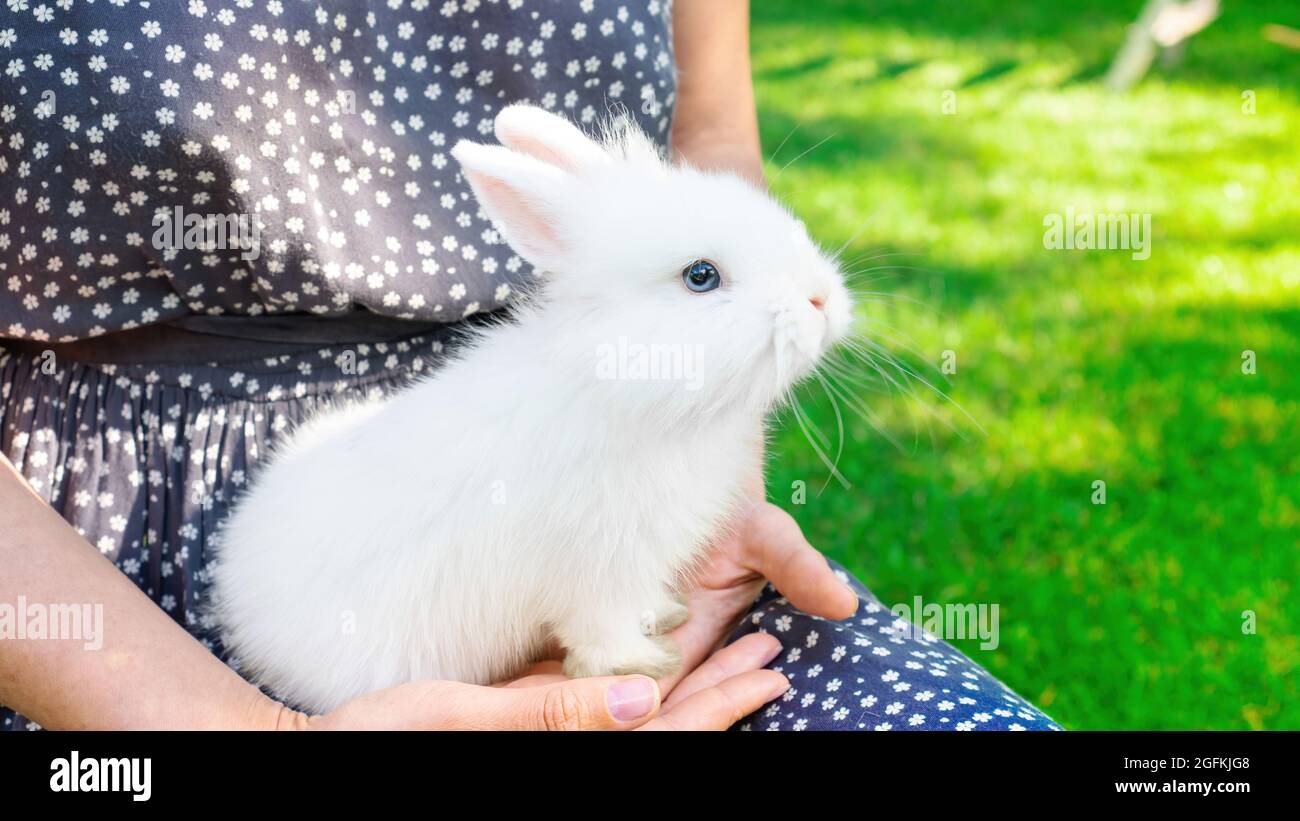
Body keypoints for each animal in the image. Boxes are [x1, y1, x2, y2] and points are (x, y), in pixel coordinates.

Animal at [206, 104, 854, 714]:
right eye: (701, 276)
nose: (822, 299)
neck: (621, 384)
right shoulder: (598, 569)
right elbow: (602, 631)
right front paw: (642, 664)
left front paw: (664, 617)